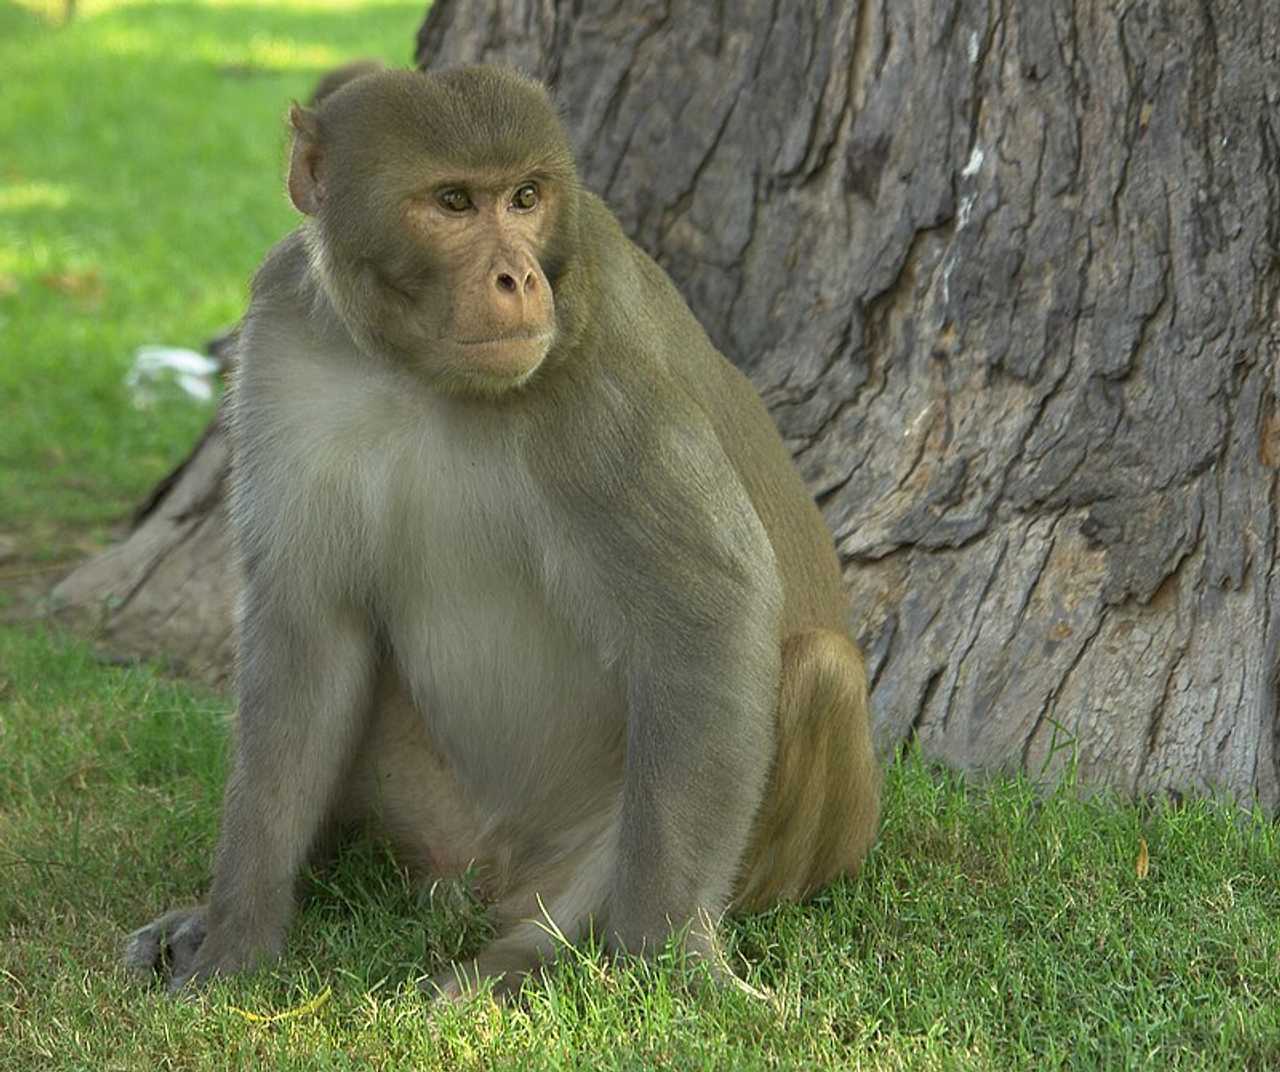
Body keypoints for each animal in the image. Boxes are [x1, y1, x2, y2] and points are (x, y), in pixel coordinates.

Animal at [123, 65, 881, 1001]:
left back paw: (518, 960)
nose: (518, 277)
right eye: (453, 201)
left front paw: (672, 964)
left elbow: (710, 612)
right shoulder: (286, 342)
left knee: (818, 670)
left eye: (524, 198)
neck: (419, 374)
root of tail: (489, 875)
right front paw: (233, 940)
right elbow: (309, 627)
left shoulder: (595, 358)